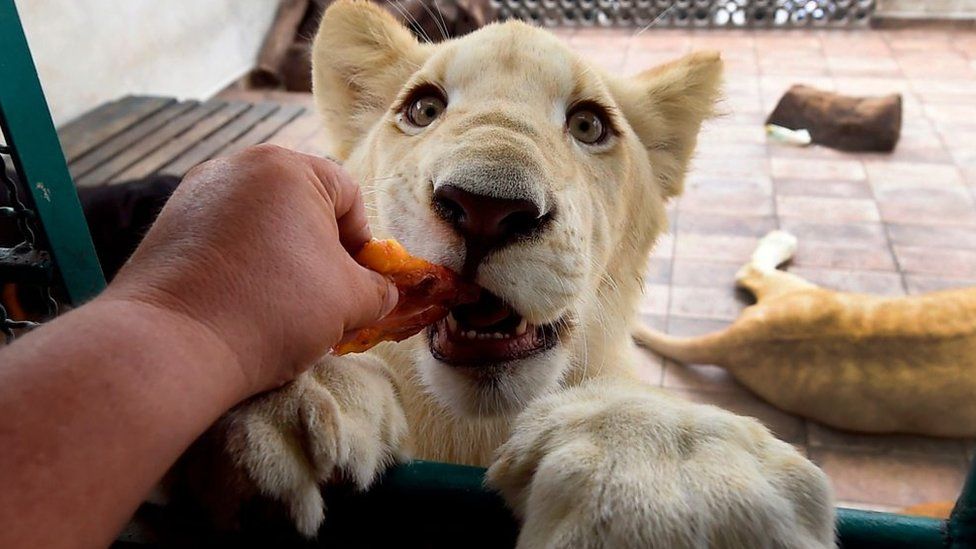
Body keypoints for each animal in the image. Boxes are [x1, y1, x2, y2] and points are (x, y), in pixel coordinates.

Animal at [173, 2, 835, 546]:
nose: (487, 208)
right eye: (425, 109)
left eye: (589, 125)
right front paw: (289, 404)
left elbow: (637, 409)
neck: (471, 432)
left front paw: (668, 482)